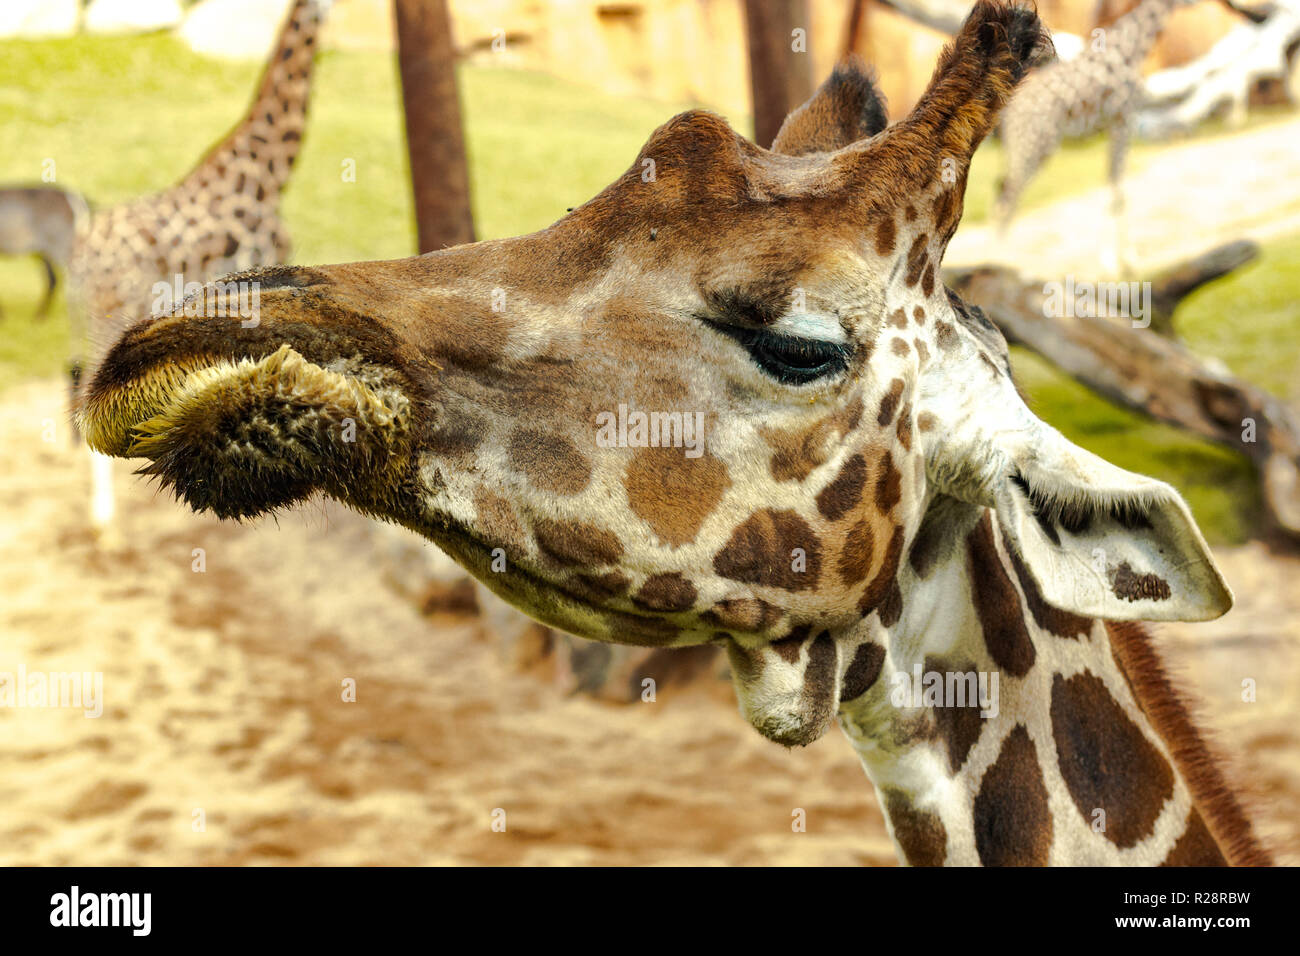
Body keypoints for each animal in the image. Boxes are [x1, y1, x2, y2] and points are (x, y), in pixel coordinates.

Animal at [993, 0, 1193, 273]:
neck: (1132, 49)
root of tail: (1008, 112)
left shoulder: (1114, 125)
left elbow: (1111, 183)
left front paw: (1114, 259)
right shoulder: (1124, 119)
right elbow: (1119, 189)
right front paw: (1122, 260)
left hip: (1020, 148)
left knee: (1001, 192)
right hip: (1034, 145)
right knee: (1009, 198)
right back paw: (1004, 265)